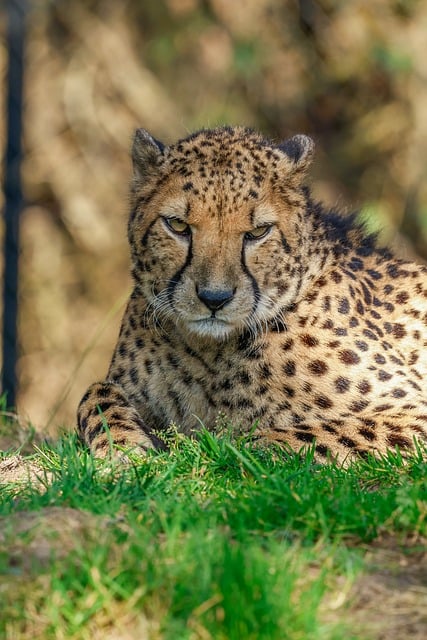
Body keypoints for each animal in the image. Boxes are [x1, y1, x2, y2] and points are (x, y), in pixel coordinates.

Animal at [77, 125, 427, 464]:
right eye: (177, 225)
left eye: (259, 232)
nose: (214, 298)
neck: (210, 356)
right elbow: (94, 395)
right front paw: (123, 446)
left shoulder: (412, 411)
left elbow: (270, 439)